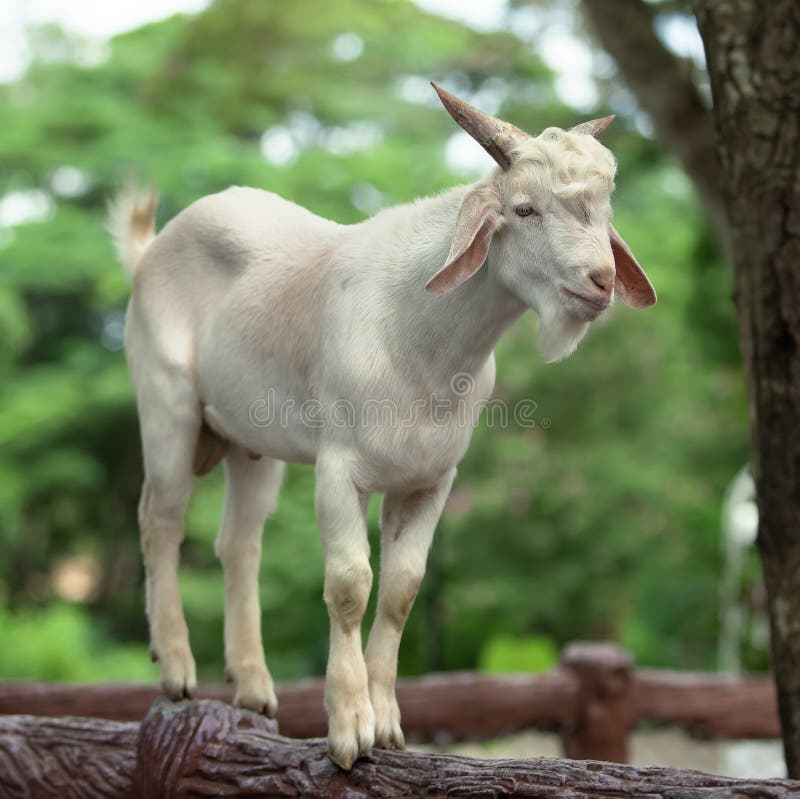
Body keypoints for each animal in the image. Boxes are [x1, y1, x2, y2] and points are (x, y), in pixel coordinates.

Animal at [109, 83, 655, 770]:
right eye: (525, 209)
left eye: (604, 209)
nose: (600, 281)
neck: (416, 335)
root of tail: (150, 252)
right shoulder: (339, 472)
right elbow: (350, 585)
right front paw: (350, 728)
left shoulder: (430, 481)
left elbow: (401, 588)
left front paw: (390, 723)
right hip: (167, 406)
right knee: (160, 520)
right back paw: (177, 669)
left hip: (250, 445)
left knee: (238, 543)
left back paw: (254, 687)